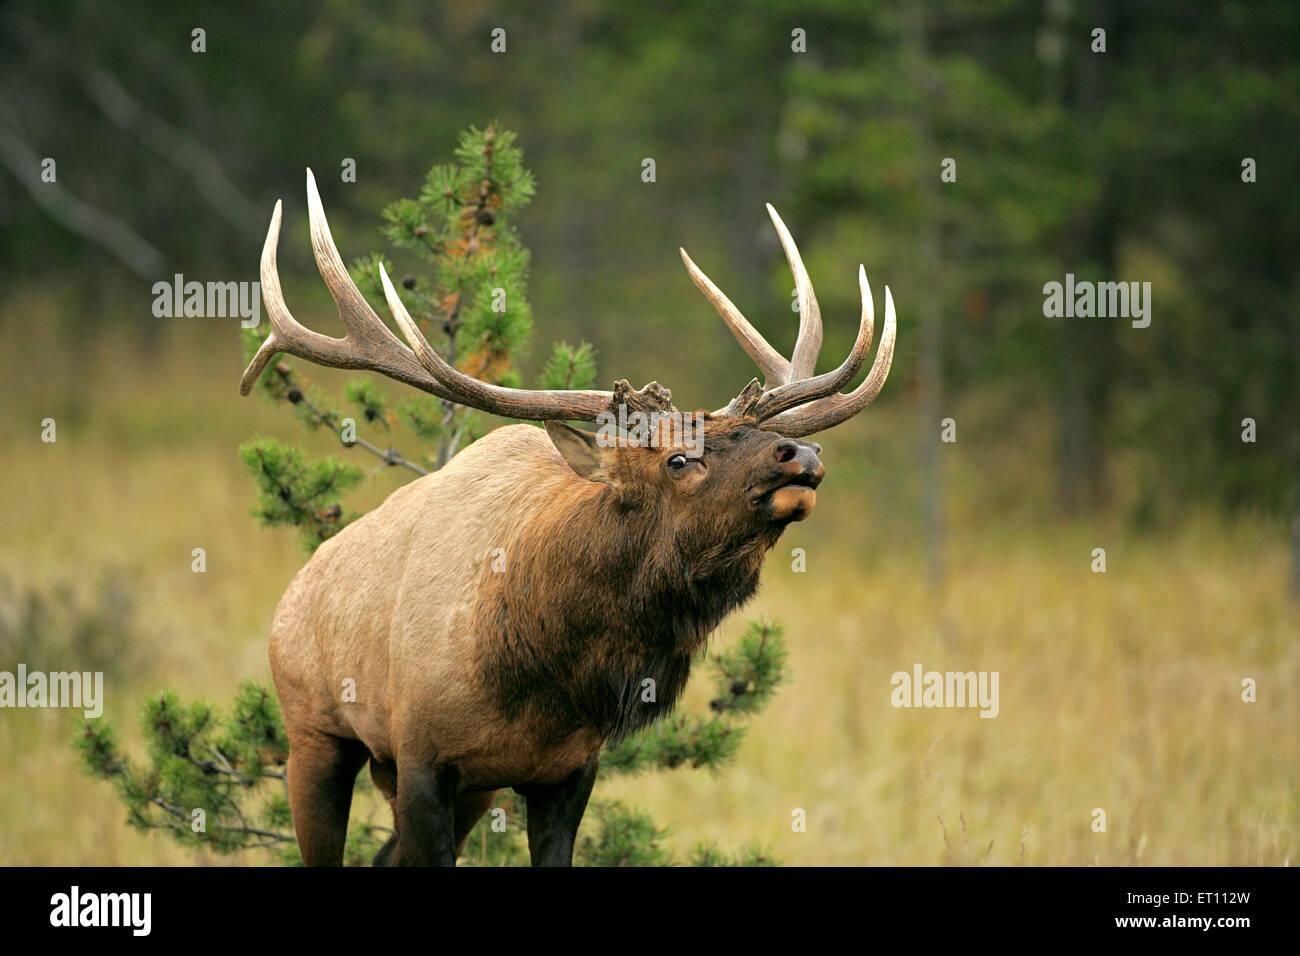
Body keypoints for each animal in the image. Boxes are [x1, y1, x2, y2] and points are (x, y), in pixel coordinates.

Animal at [240, 169, 896, 866]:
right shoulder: (422, 757)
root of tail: (294, 593)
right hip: (314, 732)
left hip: (465, 787)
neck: (542, 677)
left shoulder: (569, 769)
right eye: (677, 459)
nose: (800, 452)